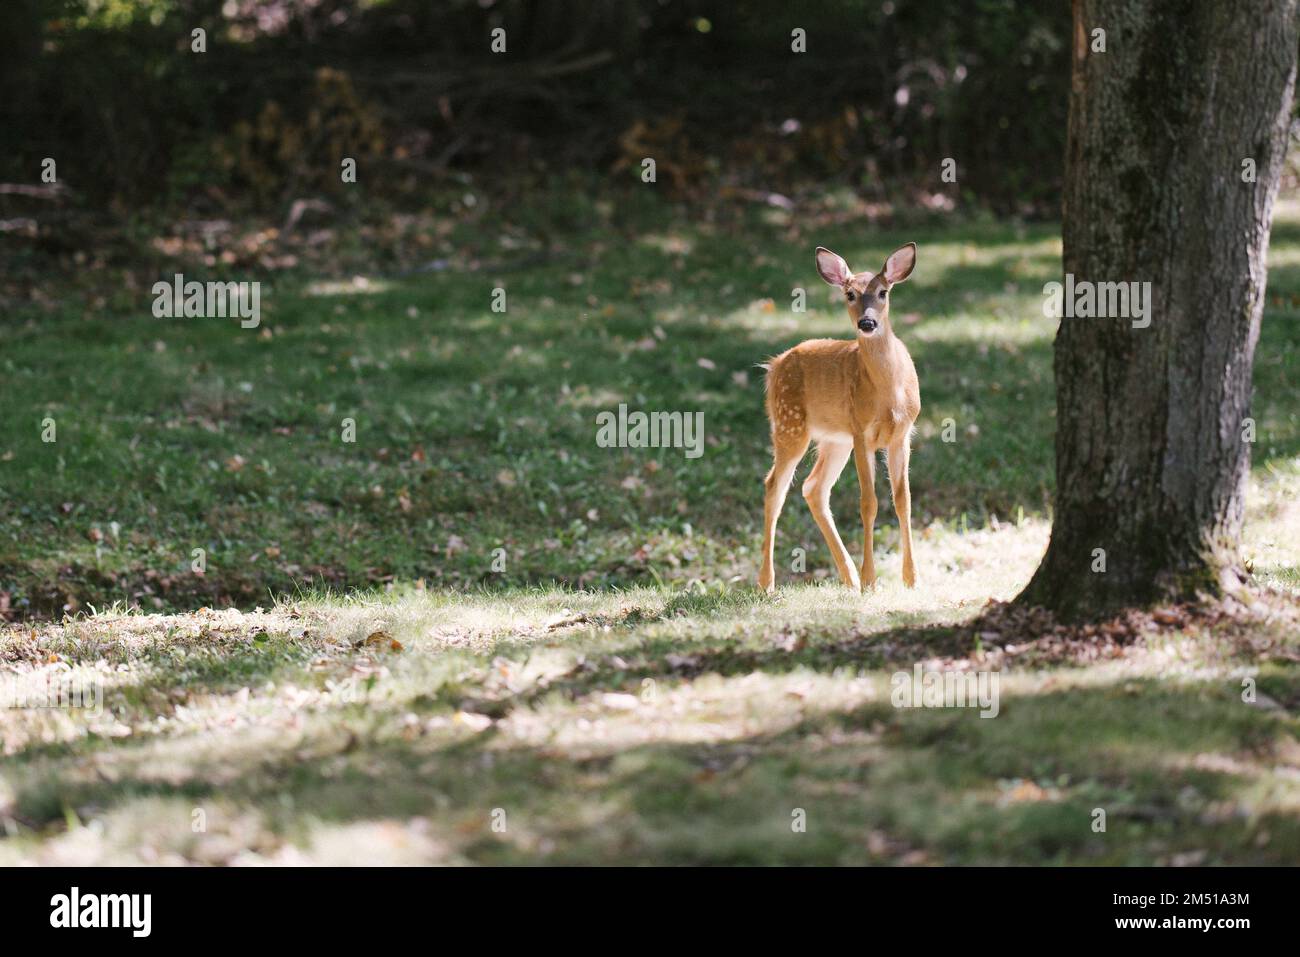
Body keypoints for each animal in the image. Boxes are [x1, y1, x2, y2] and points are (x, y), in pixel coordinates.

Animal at [758, 243, 921, 593]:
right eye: (849, 294)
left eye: (883, 292)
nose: (867, 323)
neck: (889, 395)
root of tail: (774, 365)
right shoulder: (862, 433)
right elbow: (869, 502)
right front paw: (871, 580)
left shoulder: (902, 434)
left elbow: (903, 500)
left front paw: (911, 578)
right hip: (790, 423)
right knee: (774, 486)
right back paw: (767, 582)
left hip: (835, 440)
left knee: (813, 488)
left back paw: (848, 577)